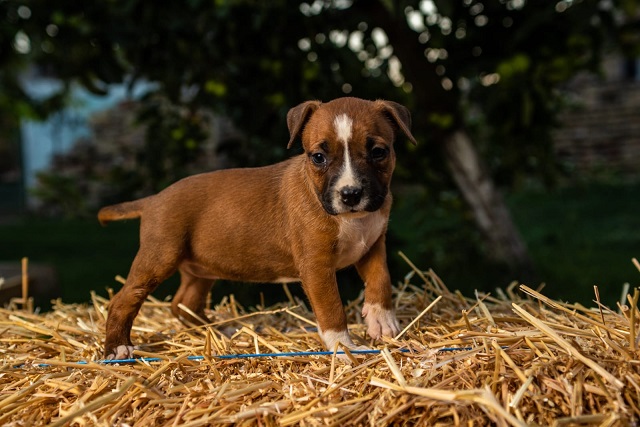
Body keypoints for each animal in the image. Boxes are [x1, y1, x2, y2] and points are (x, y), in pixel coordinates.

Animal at [99, 95, 418, 360]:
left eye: (378, 152)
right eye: (318, 157)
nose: (350, 194)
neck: (352, 220)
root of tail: (153, 199)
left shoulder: (372, 245)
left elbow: (381, 279)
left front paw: (382, 320)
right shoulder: (317, 268)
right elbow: (332, 310)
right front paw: (344, 346)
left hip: (199, 270)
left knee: (183, 304)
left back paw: (218, 331)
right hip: (159, 258)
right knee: (123, 300)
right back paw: (119, 348)